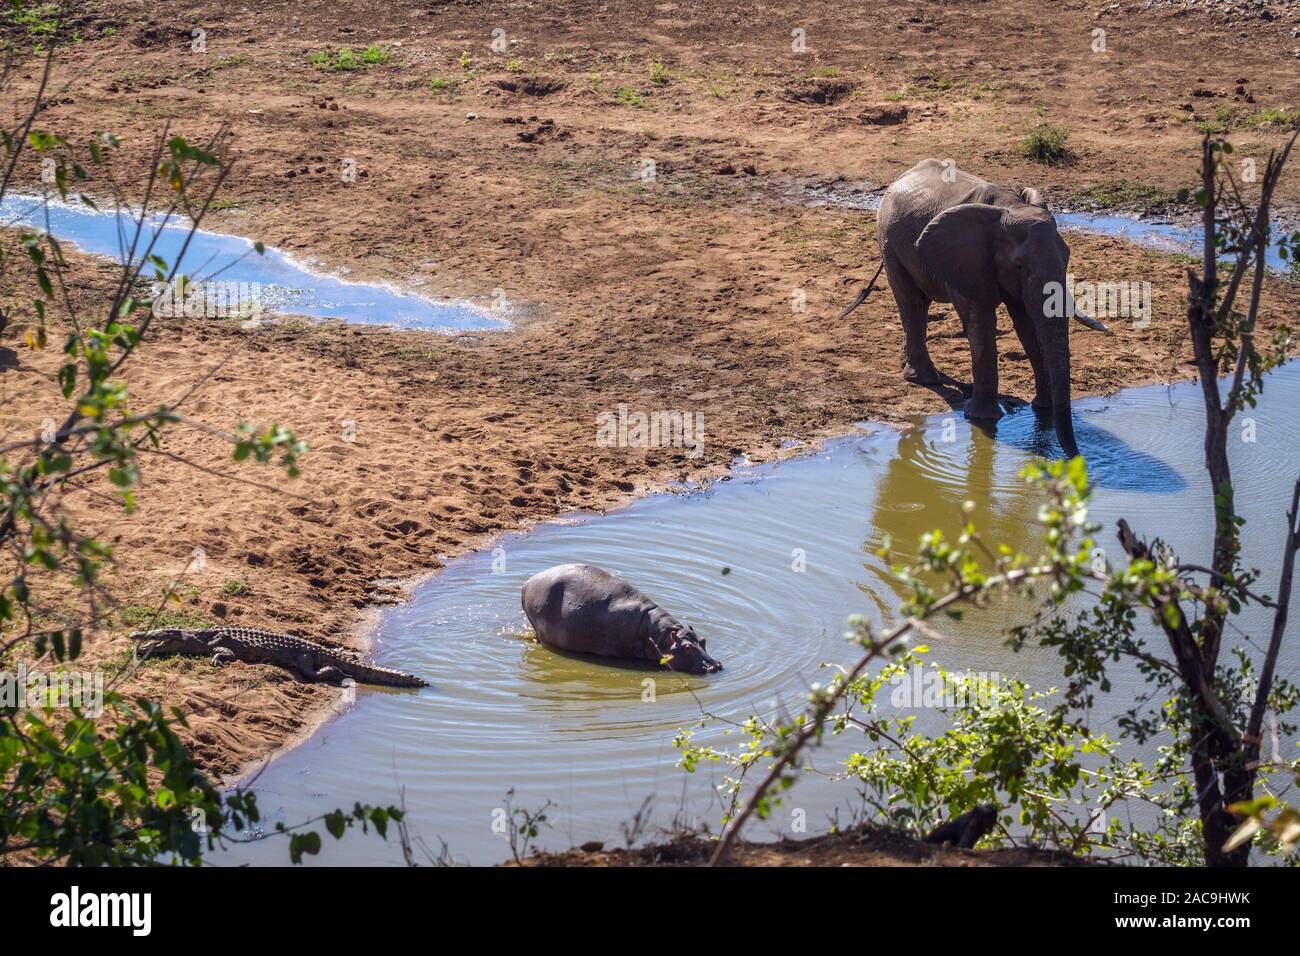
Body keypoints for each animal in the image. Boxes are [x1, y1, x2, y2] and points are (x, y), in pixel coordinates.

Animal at [521, 563, 722, 674]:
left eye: (703, 640)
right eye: (687, 648)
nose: (715, 666)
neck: (661, 637)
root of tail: (527, 583)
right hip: (541, 630)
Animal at [841, 159, 1108, 459]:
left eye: (1067, 257)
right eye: (1019, 266)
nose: (1079, 459)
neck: (1009, 208)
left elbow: (1026, 323)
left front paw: (1042, 409)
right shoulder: (971, 261)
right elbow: (981, 321)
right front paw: (984, 419)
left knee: (920, 305)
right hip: (887, 239)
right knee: (909, 301)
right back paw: (925, 378)